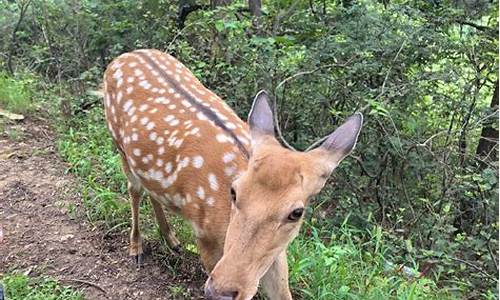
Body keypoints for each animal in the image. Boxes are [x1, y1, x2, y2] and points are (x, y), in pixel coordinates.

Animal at [102, 49, 364, 300]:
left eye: (296, 213)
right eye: (234, 191)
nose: (221, 291)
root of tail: (122, 57)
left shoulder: (277, 251)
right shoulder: (204, 234)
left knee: (151, 189)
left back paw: (172, 239)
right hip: (119, 144)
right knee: (134, 189)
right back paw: (136, 248)